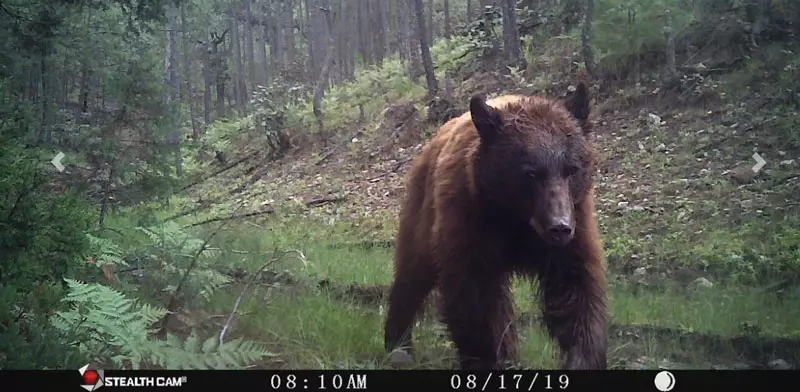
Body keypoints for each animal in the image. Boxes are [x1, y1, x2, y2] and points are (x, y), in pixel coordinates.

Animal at [382, 82, 608, 370]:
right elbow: (476, 298)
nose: (559, 226)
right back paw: (398, 343)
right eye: (531, 172)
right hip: (422, 209)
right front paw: (491, 357)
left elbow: (576, 289)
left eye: (572, 169)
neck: (517, 219)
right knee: (412, 274)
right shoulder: (472, 222)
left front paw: (582, 357)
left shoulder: (575, 224)